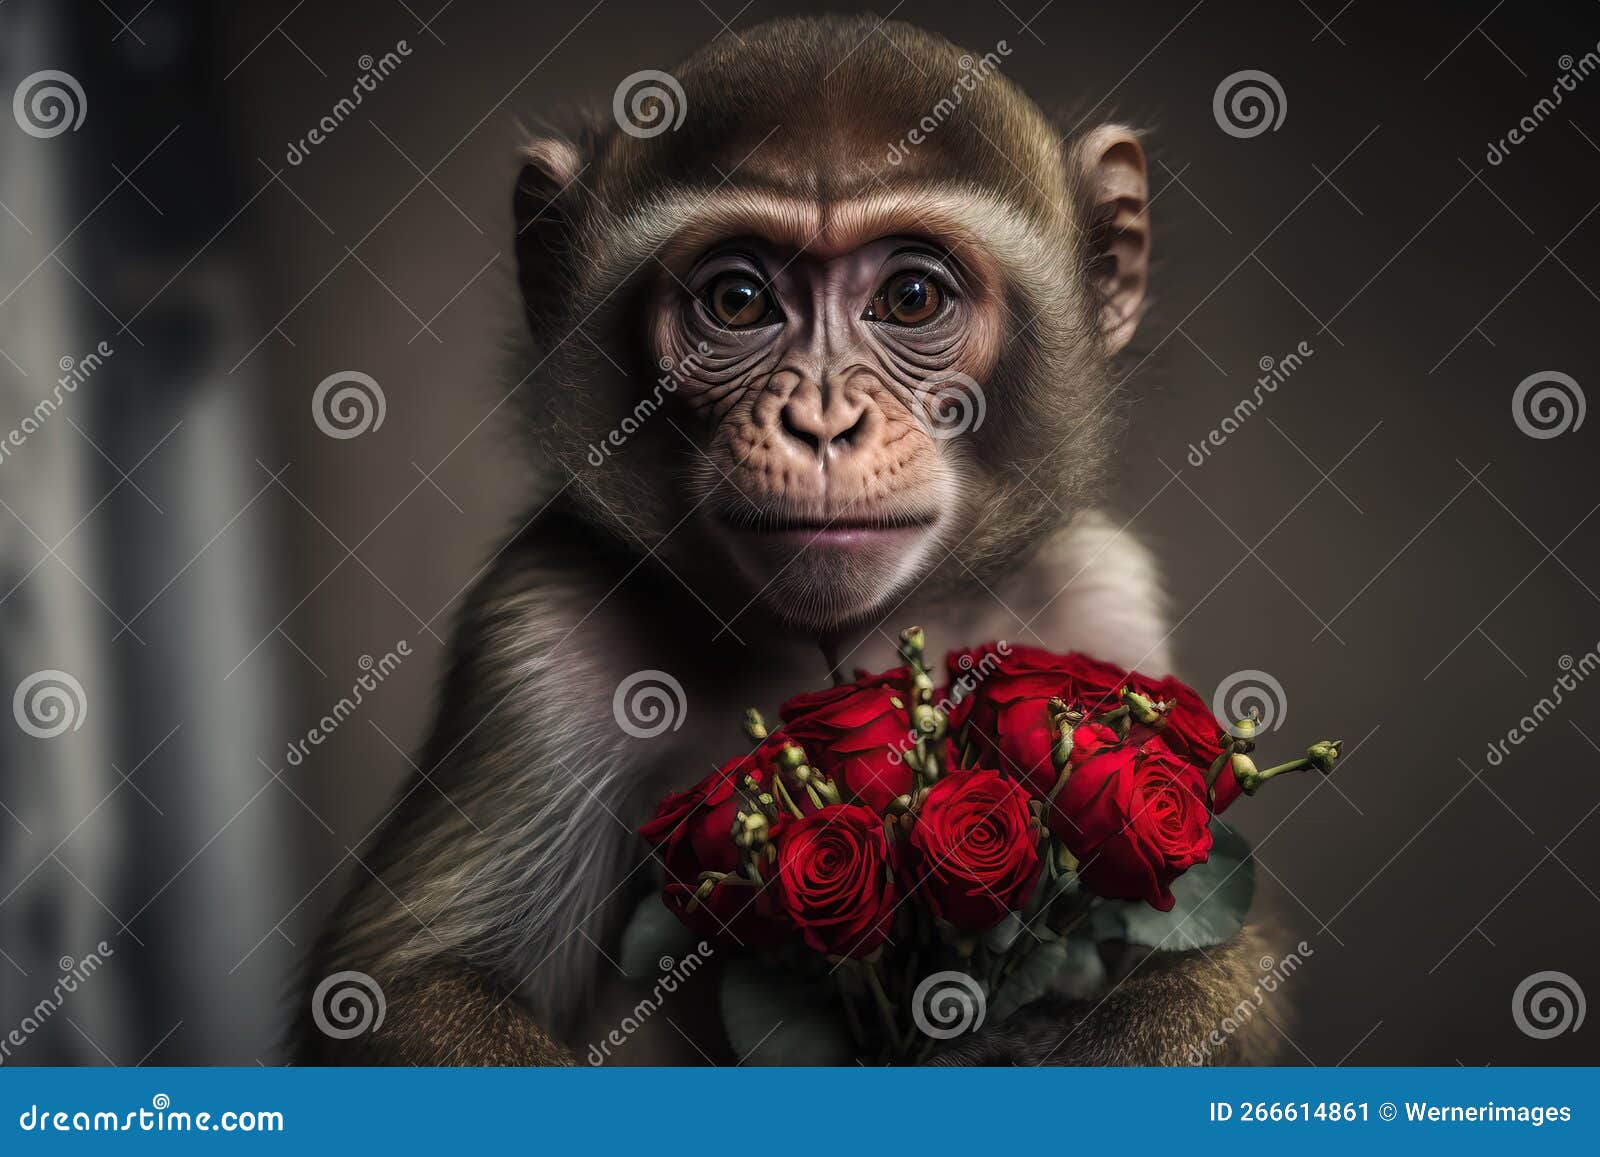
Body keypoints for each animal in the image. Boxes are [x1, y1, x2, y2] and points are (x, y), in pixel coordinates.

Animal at [295, 15, 1284, 1067]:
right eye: (737, 301)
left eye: (911, 297)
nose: (821, 421)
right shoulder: (543, 625)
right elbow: (400, 990)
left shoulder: (1101, 591)